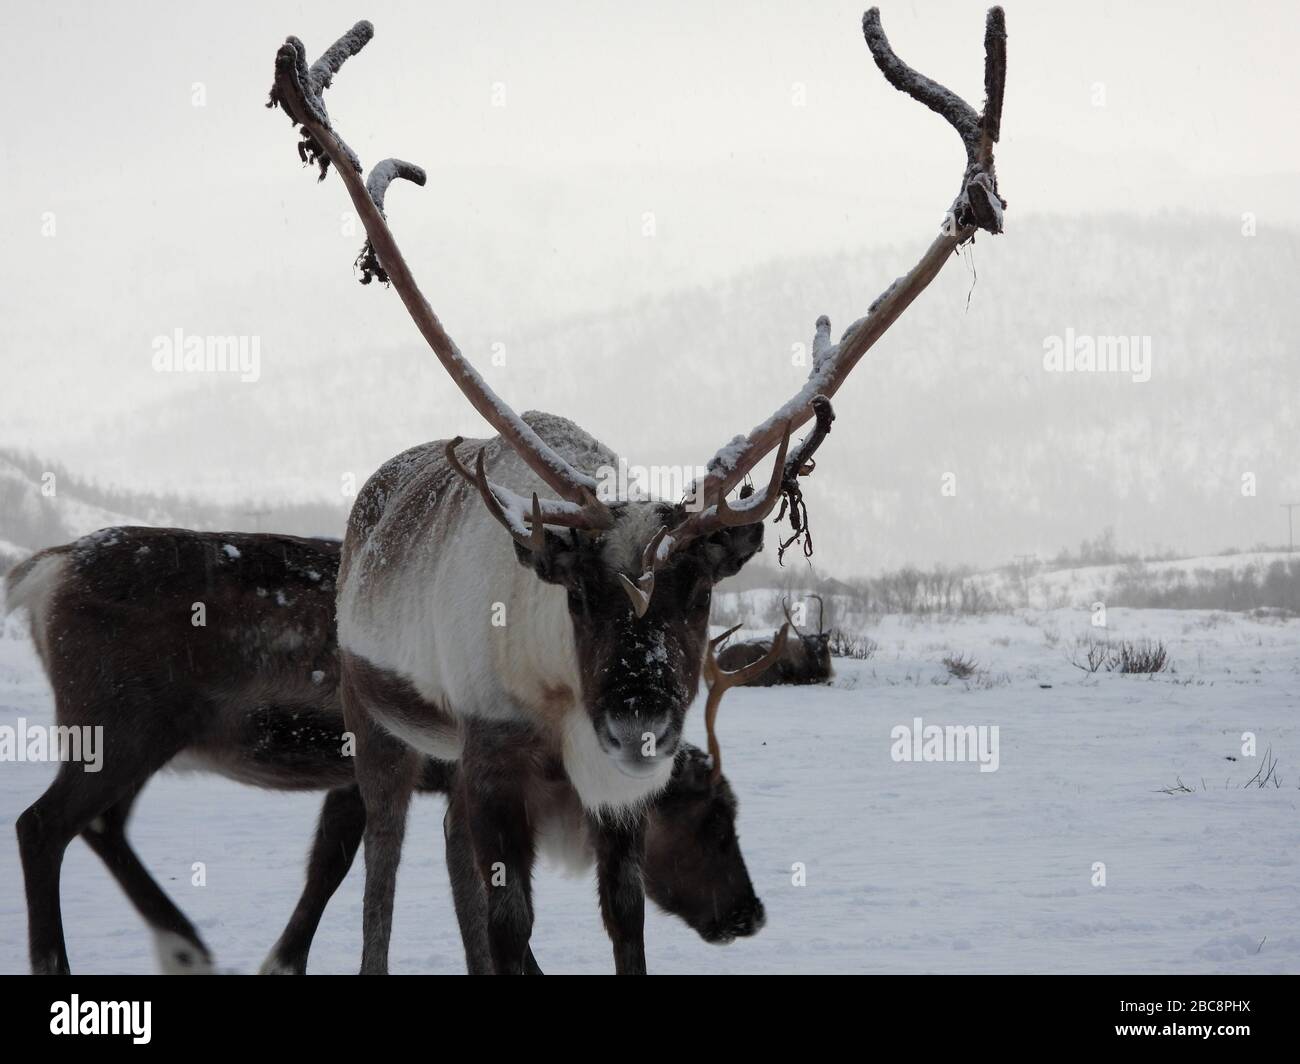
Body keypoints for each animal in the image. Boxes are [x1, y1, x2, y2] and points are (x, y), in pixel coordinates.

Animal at [6, 528, 769, 975]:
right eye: (710, 819)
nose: (751, 914)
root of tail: (43, 573)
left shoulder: (375, 781)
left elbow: (334, 862)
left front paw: (283, 959)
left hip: (136, 739)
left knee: (99, 826)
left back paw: (183, 945)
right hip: (122, 729)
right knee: (41, 825)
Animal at [266, 7, 1008, 973]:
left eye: (700, 589)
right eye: (580, 594)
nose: (639, 723)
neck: (560, 701)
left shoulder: (614, 801)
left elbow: (623, 918)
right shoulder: (492, 763)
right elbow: (510, 925)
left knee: (445, 865)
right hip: (379, 726)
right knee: (381, 869)